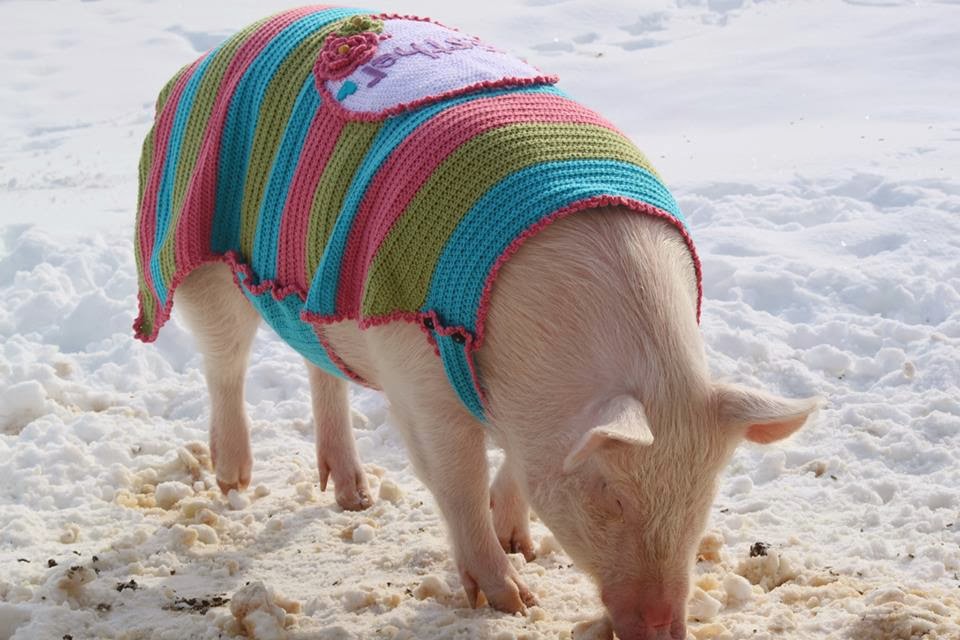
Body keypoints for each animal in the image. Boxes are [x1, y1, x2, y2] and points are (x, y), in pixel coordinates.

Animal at [174, 210, 817, 640]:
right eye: (611, 496)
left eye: (704, 498)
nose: (662, 628)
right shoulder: (416, 371)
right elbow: (456, 480)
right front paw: (516, 602)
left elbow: (515, 469)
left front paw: (523, 548)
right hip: (205, 267)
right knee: (224, 359)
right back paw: (232, 480)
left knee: (318, 363)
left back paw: (354, 499)